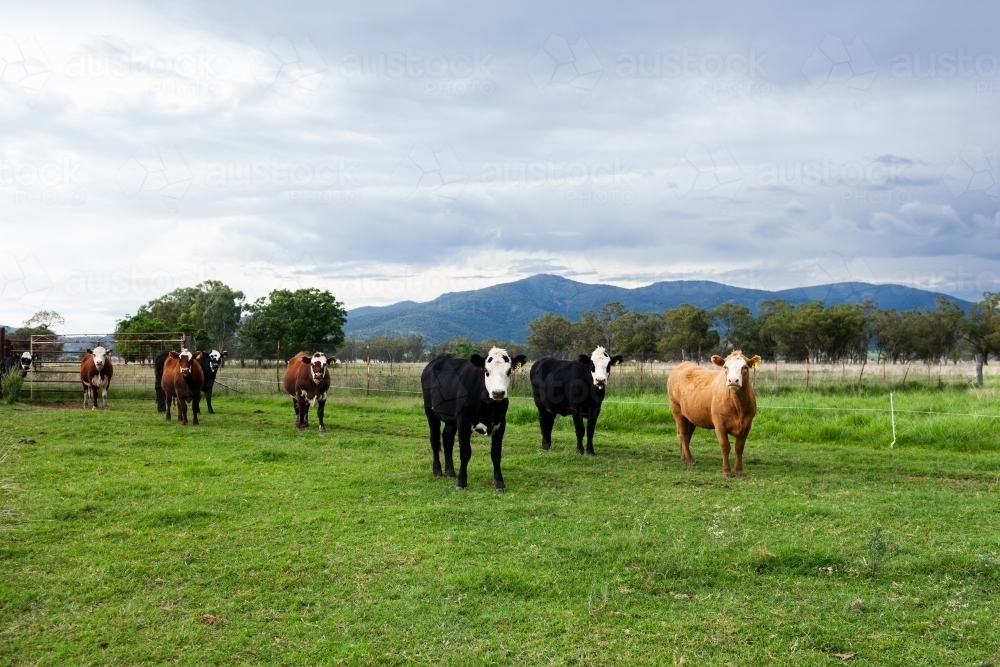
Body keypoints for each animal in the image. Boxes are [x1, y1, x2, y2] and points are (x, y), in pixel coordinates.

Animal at [421, 347, 526, 492]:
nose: (498, 393)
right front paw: (461, 482)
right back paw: (437, 471)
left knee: (447, 439)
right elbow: (465, 452)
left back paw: (450, 472)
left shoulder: (500, 425)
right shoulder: (464, 423)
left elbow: (496, 454)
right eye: (486, 371)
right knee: (435, 439)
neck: (489, 406)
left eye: (509, 371)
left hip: (451, 420)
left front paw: (500, 483)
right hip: (430, 412)